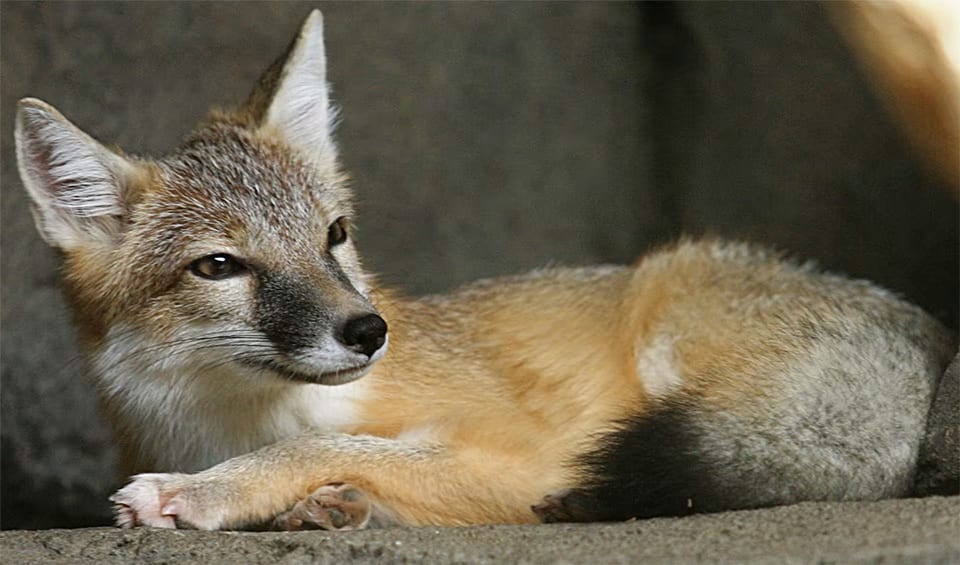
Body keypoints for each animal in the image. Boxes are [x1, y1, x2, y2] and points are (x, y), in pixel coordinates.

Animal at [15, 10, 956, 531]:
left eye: (334, 234)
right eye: (220, 265)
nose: (369, 330)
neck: (229, 423)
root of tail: (931, 332)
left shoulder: (523, 451)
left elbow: (324, 442)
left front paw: (212, 492)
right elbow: (346, 454)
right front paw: (326, 501)